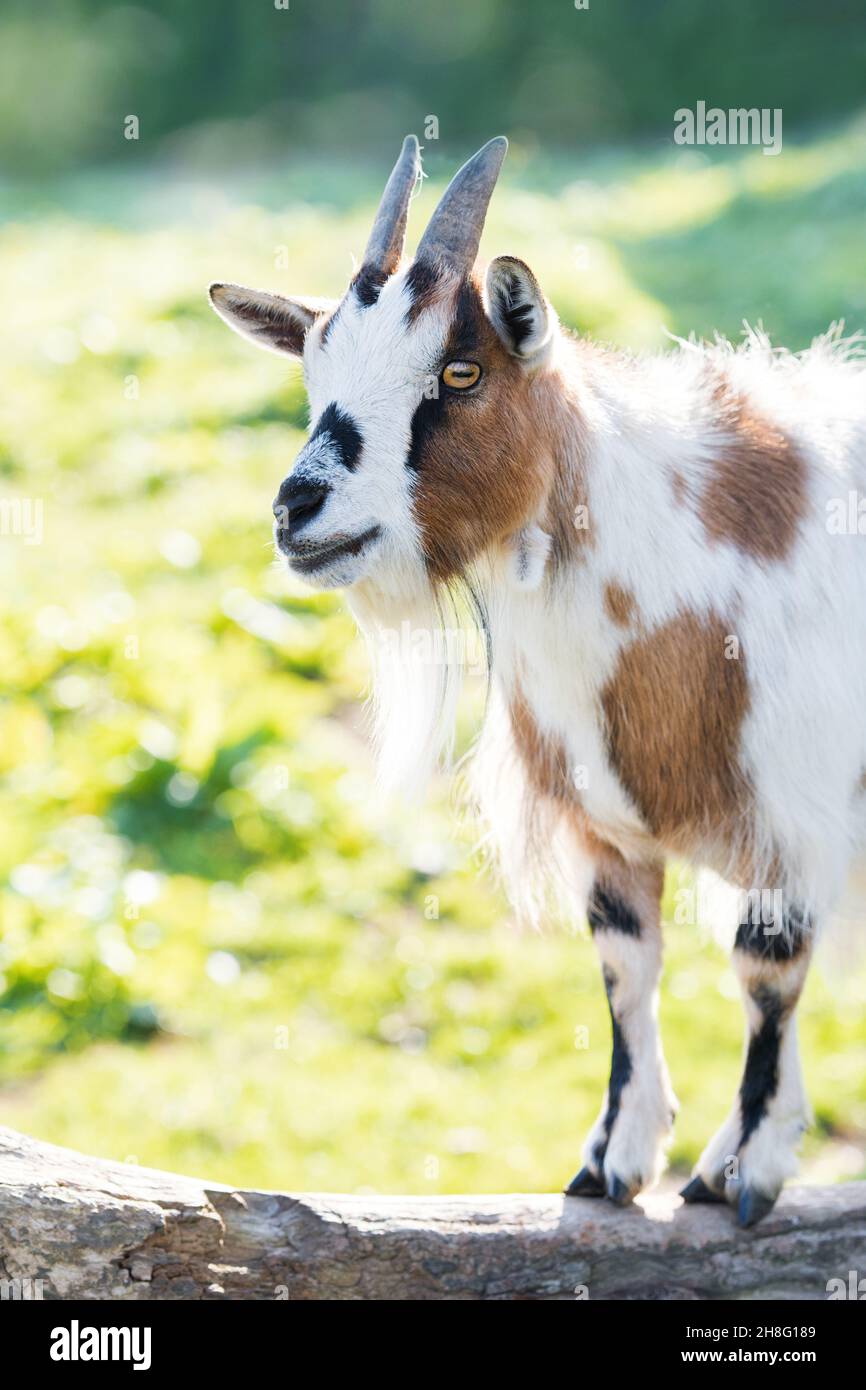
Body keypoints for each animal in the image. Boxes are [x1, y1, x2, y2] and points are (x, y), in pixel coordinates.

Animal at [209, 135, 866, 1226]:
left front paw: (744, 1168)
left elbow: (763, 975)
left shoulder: (795, 814)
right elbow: (624, 968)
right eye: (316, 369)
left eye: (459, 368)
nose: (297, 509)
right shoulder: (602, 827)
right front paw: (616, 1159)